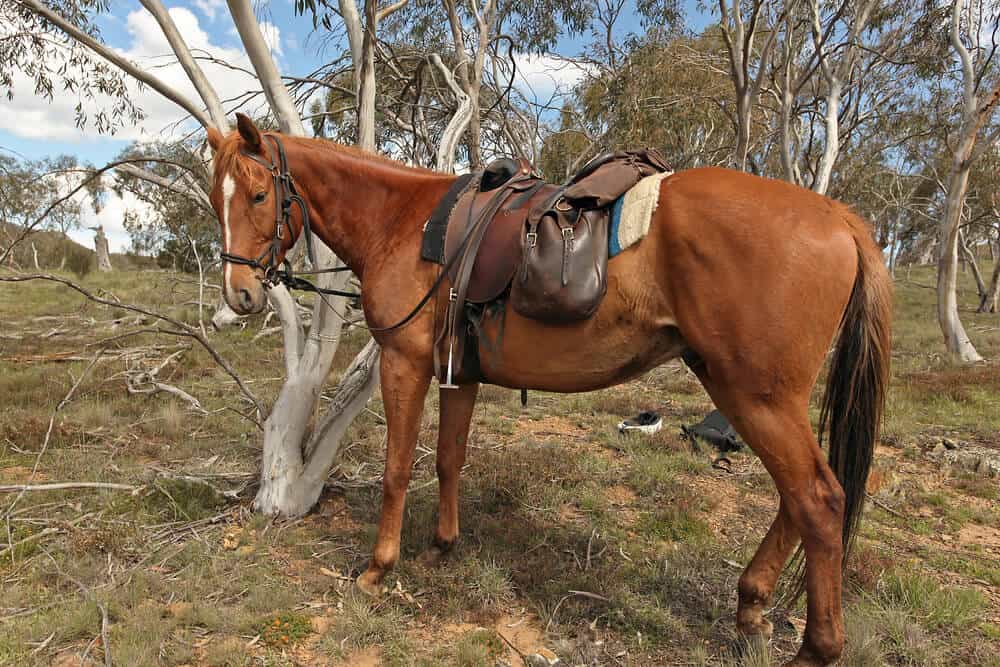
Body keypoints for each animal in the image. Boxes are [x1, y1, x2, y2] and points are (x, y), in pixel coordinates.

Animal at [205, 114, 891, 667]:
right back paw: (751, 608)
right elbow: (449, 460)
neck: (402, 221)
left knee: (819, 500)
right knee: (799, 500)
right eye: (217, 199)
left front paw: (379, 567)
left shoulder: (405, 364)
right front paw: (441, 547)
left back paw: (815, 647)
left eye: (261, 195)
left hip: (756, 396)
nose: (240, 295)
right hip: (748, 394)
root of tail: (840, 218)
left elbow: (398, 467)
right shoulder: (462, 373)